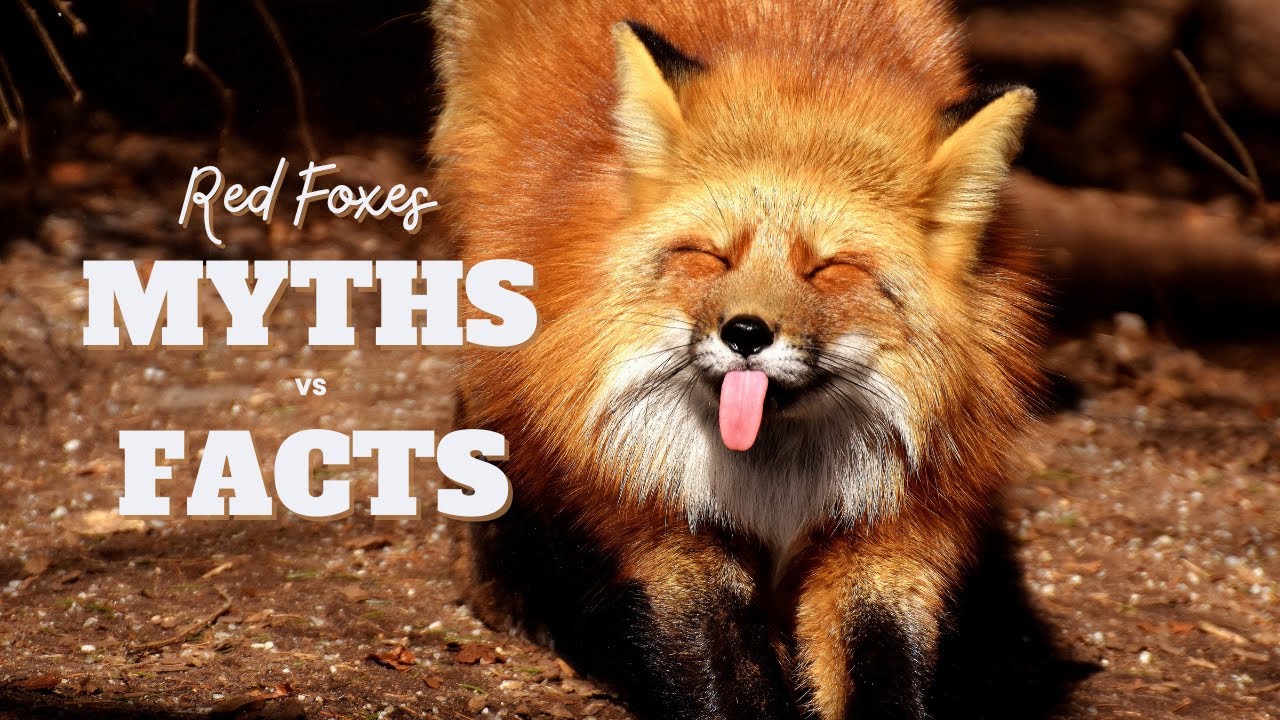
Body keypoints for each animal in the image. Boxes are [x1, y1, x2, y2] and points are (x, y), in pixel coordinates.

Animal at [428, 0, 1043, 717]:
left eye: (828, 268)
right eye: (713, 256)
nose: (745, 332)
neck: (776, 482)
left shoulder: (890, 533)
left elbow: (881, 660)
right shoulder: (665, 521)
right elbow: (718, 664)